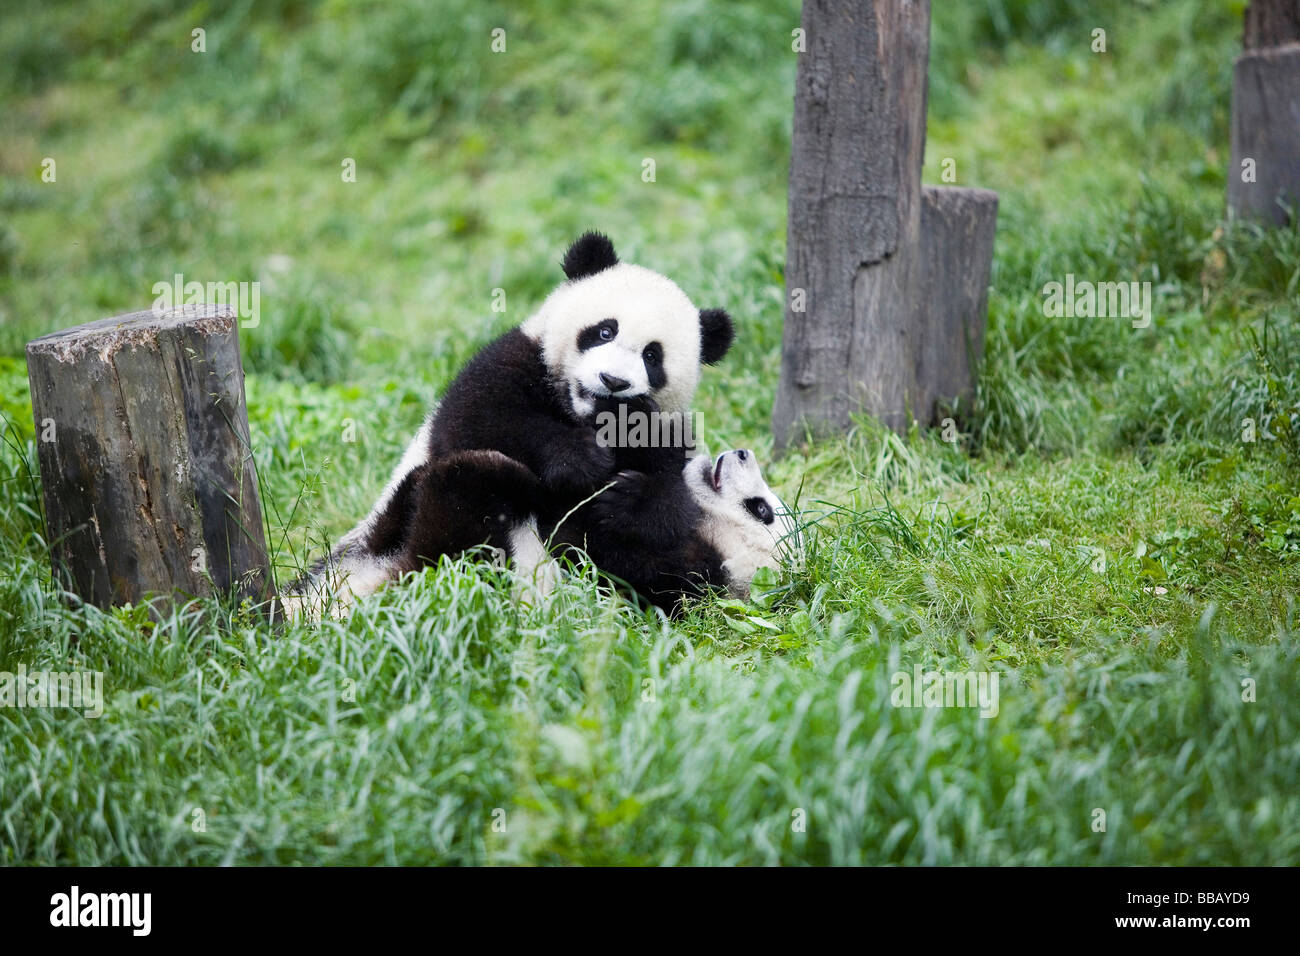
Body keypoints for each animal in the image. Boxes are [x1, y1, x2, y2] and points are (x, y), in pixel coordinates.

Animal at [286, 232, 734, 613]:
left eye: (651, 356)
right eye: (605, 331)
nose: (613, 381)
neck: (583, 415)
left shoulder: (665, 432)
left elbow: (671, 510)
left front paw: (625, 498)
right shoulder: (510, 360)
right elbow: (482, 419)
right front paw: (578, 460)